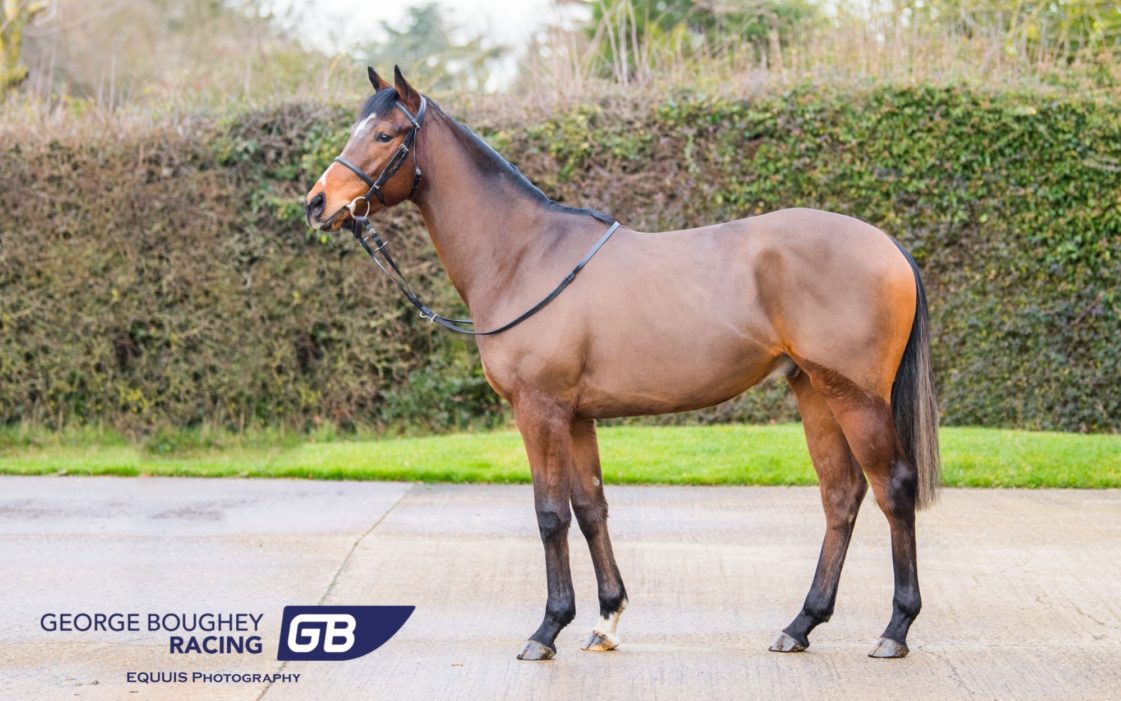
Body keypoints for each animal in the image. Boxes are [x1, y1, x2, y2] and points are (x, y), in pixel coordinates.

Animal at [305, 66, 941, 661]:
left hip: (855, 397)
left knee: (893, 487)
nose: (317, 204)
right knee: (840, 495)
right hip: (813, 391)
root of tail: (887, 245)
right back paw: (801, 624)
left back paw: (895, 629)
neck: (524, 256)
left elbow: (550, 514)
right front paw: (606, 620)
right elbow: (591, 508)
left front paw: (547, 629)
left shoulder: (539, 410)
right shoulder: (577, 416)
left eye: (385, 134)